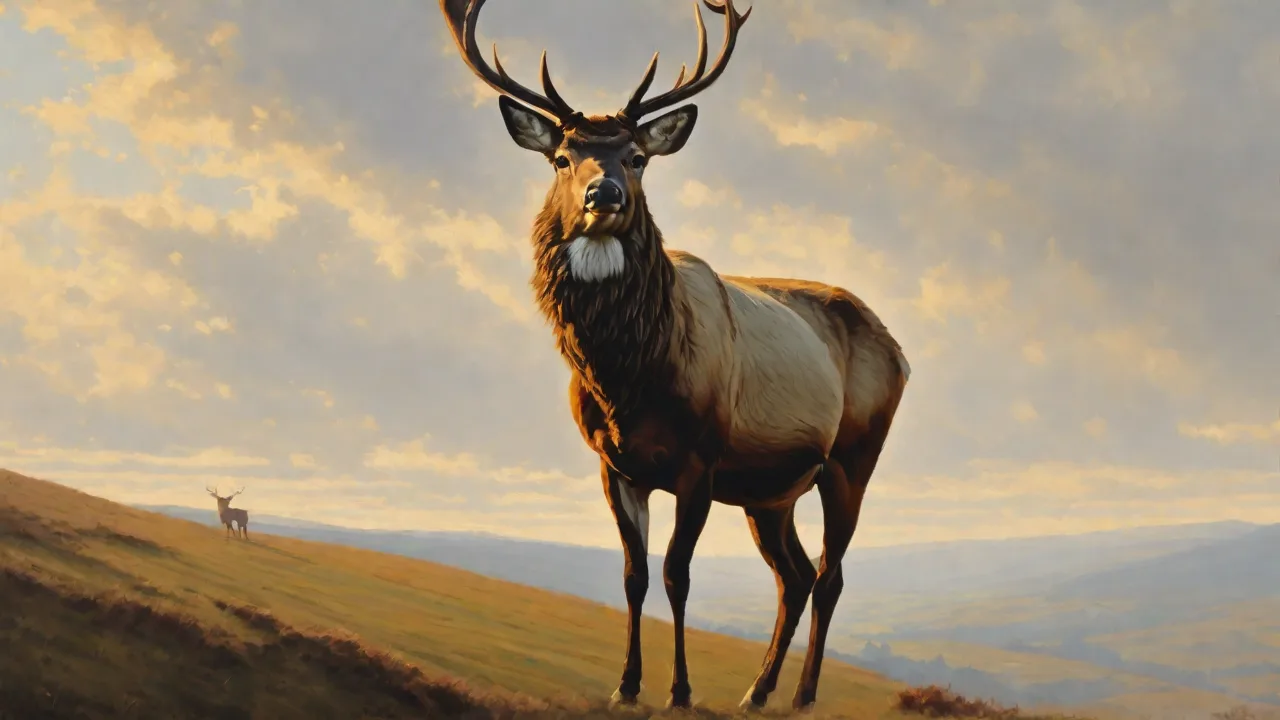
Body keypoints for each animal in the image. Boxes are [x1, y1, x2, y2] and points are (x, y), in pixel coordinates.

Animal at [438, 0, 910, 712]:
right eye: (561, 158)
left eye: (637, 157)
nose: (603, 195)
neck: (626, 383)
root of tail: (901, 350)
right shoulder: (613, 464)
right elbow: (633, 574)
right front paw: (627, 685)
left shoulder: (700, 459)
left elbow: (677, 574)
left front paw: (681, 690)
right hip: (770, 491)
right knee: (795, 574)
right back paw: (756, 691)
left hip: (854, 455)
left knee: (830, 574)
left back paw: (801, 695)